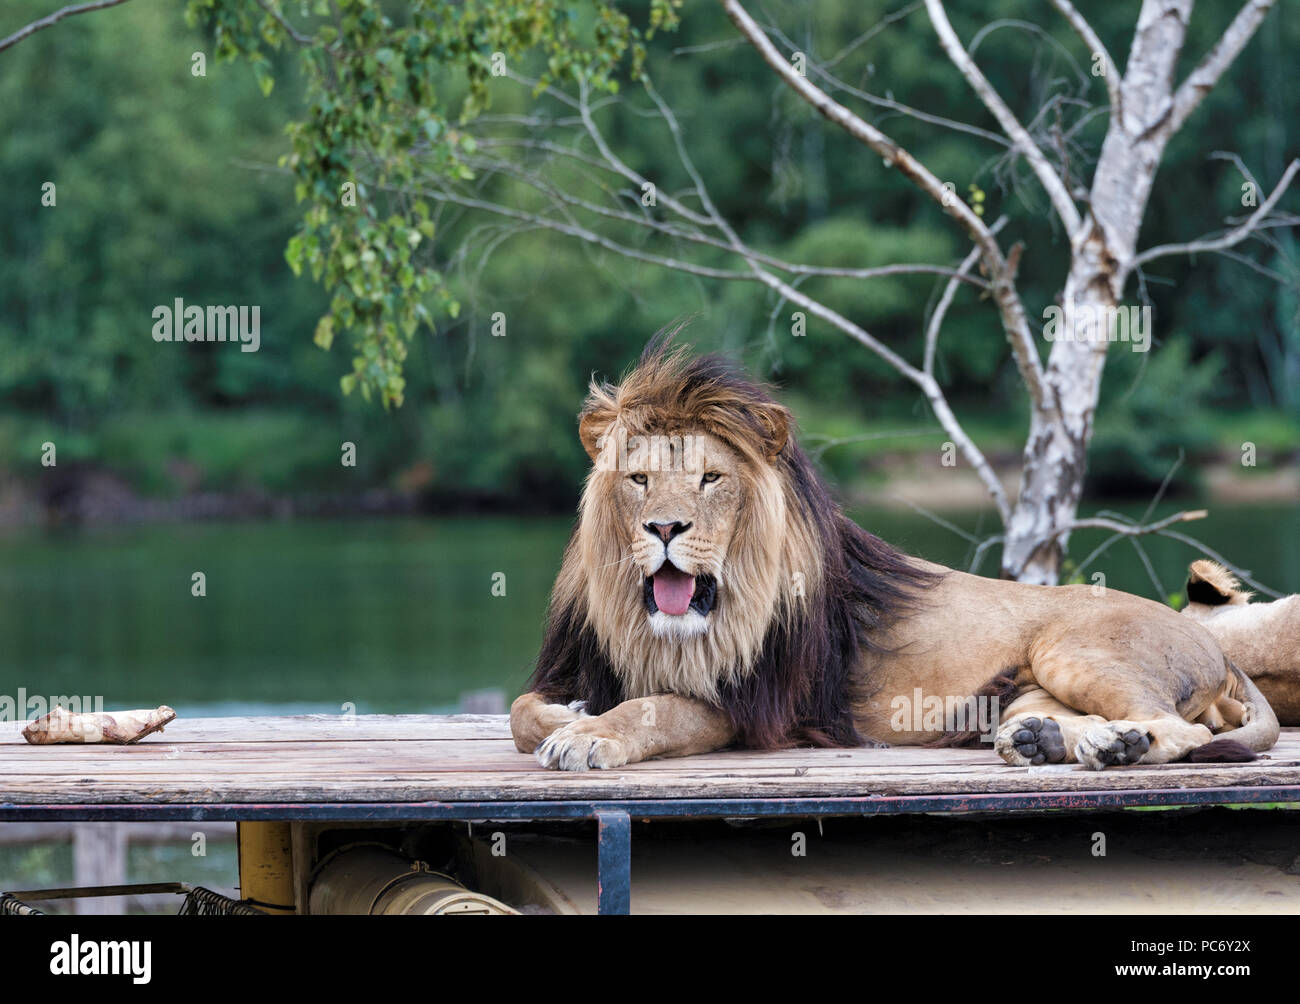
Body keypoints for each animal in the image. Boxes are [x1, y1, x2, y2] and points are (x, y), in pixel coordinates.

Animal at [510, 341, 1279, 771]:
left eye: (710, 479)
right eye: (639, 479)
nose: (664, 527)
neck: (656, 629)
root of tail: (1216, 645)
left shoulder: (761, 709)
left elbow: (655, 710)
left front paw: (587, 736)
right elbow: (522, 711)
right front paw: (568, 715)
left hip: (1076, 649)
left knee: (1182, 726)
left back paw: (1119, 747)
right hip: (1027, 689)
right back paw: (1051, 742)